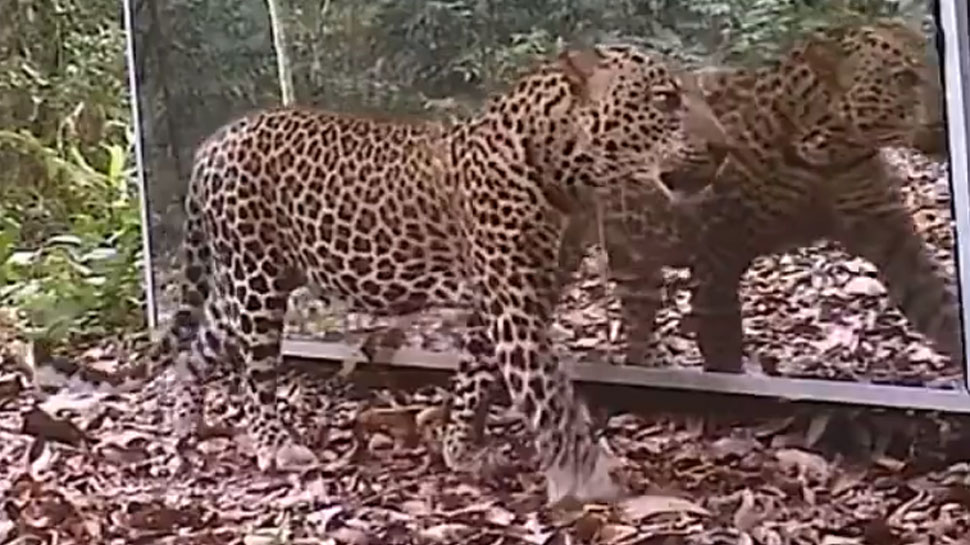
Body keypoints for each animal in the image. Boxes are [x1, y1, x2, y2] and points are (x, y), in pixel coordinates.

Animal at [66, 44, 728, 506]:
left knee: (198, 348)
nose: (722, 147)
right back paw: (274, 446)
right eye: (666, 99)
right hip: (256, 285)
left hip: (246, 284)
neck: (569, 172)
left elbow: (474, 385)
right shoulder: (514, 304)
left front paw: (463, 453)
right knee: (255, 375)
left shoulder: (498, 304)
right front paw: (587, 479)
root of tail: (212, 142)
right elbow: (550, 393)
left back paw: (185, 424)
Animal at [558, 18, 962, 375]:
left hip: (634, 257)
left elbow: (941, 307)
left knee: (638, 312)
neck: (829, 156)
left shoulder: (889, 231)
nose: (946, 117)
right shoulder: (716, 256)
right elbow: (722, 344)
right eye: (904, 78)